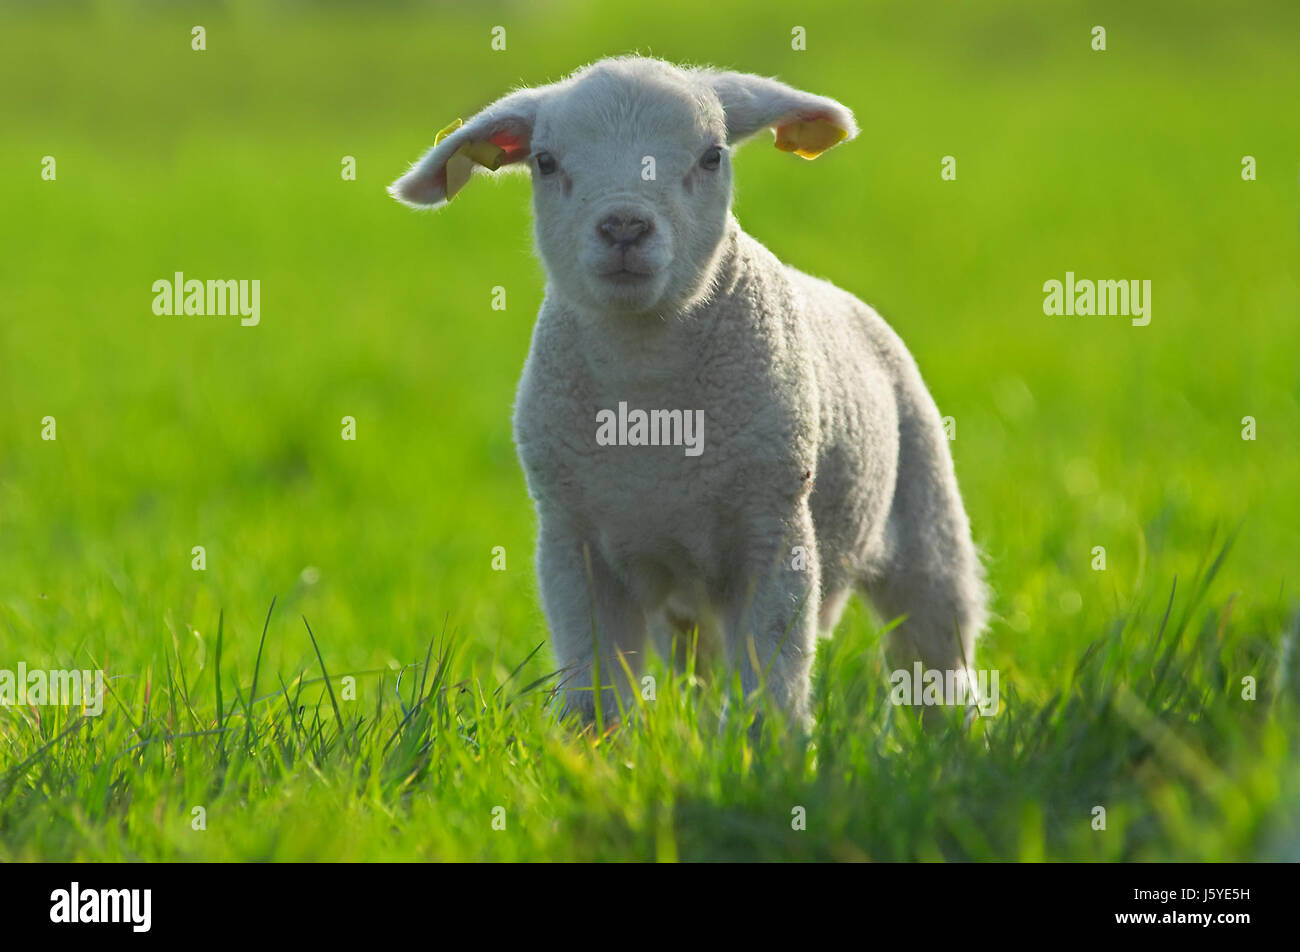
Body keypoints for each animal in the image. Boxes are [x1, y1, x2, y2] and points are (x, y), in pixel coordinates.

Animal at [390, 56, 988, 728]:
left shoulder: (773, 533)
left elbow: (772, 679)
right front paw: (597, 750)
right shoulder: (573, 545)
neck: (650, 405)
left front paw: (769, 746)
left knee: (937, 650)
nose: (624, 225)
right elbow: (598, 690)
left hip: (926, 517)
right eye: (544, 161)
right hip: (684, 603)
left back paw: (955, 736)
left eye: (711, 156)